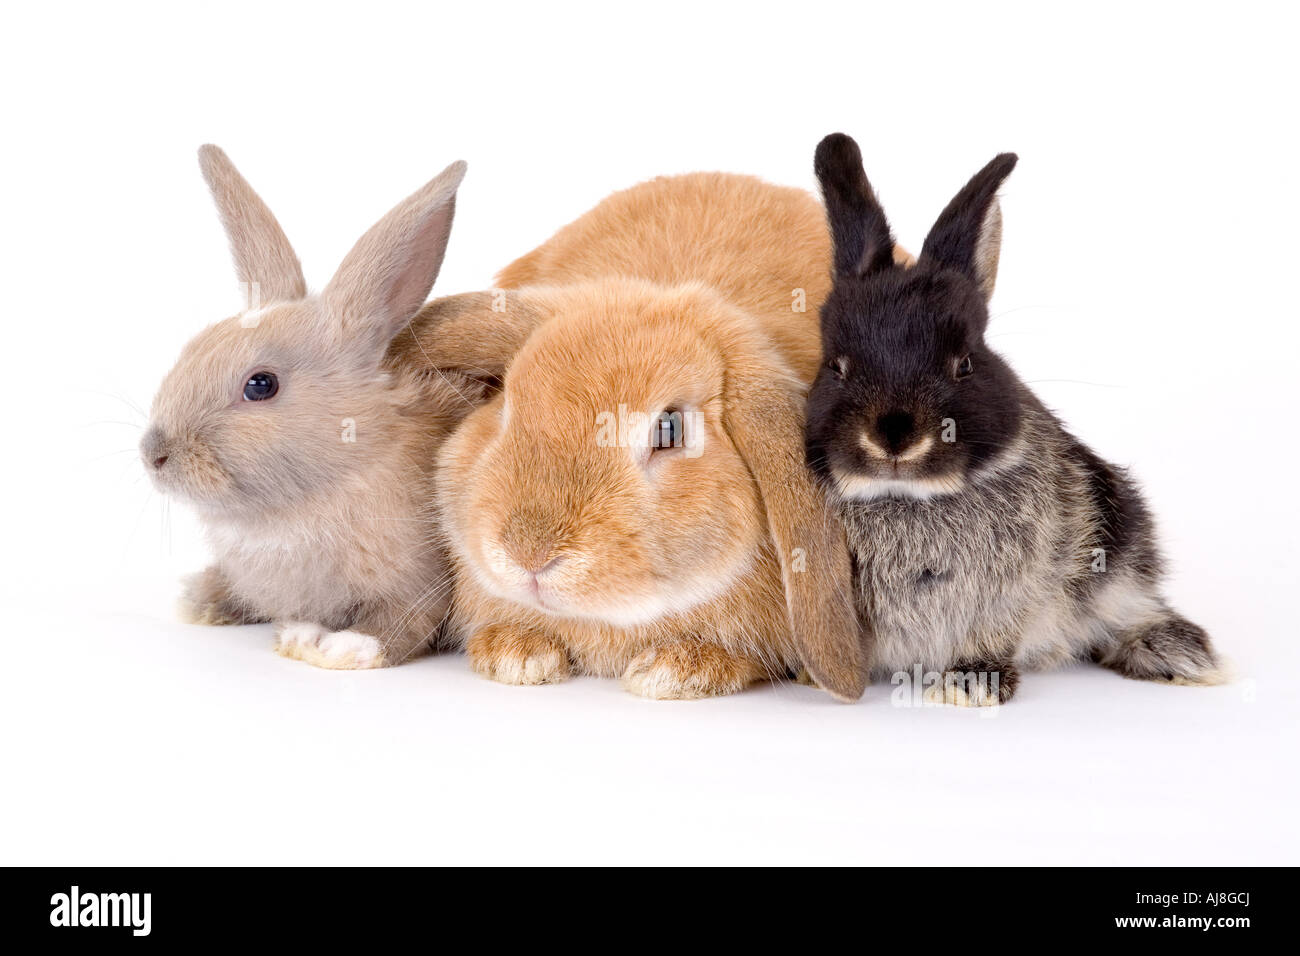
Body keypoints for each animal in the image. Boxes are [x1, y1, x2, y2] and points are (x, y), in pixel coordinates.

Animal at [140, 145, 492, 669]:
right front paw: (197, 599)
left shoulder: (420, 581)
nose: (154, 455)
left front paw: (339, 647)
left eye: (260, 385)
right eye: (192, 349)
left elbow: (400, 623)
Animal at [804, 132, 1223, 705]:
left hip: (1120, 546)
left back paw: (1178, 656)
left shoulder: (1013, 591)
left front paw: (968, 687)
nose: (894, 438)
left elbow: (992, 634)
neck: (909, 498)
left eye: (965, 363)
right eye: (836, 366)